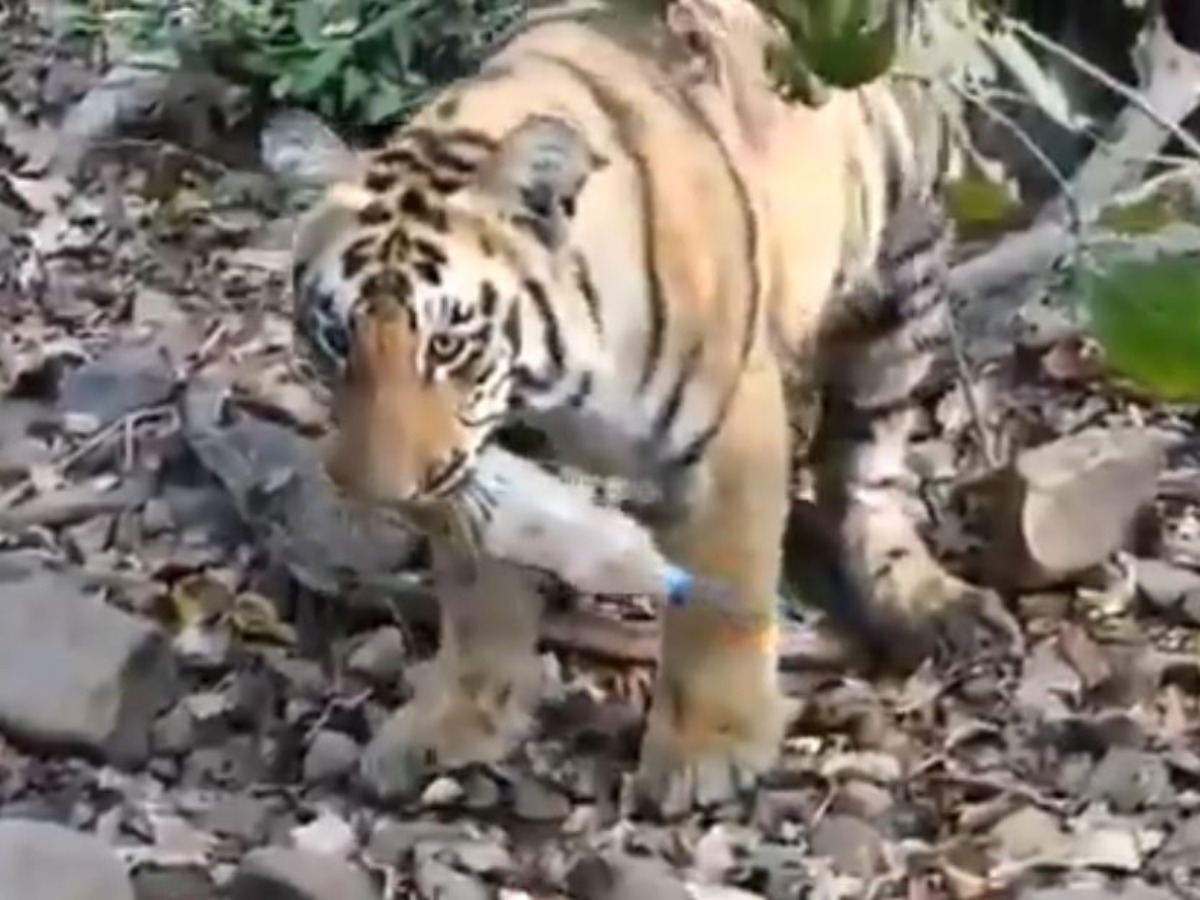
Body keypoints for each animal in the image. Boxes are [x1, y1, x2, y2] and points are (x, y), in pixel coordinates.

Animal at [289, 0, 1024, 818]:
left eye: (448, 344)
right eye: (335, 336)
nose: (386, 494)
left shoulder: (730, 434)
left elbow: (723, 593)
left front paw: (709, 748)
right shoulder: (483, 457)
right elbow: (480, 592)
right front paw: (459, 717)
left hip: (903, 272)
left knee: (869, 465)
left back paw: (920, 594)